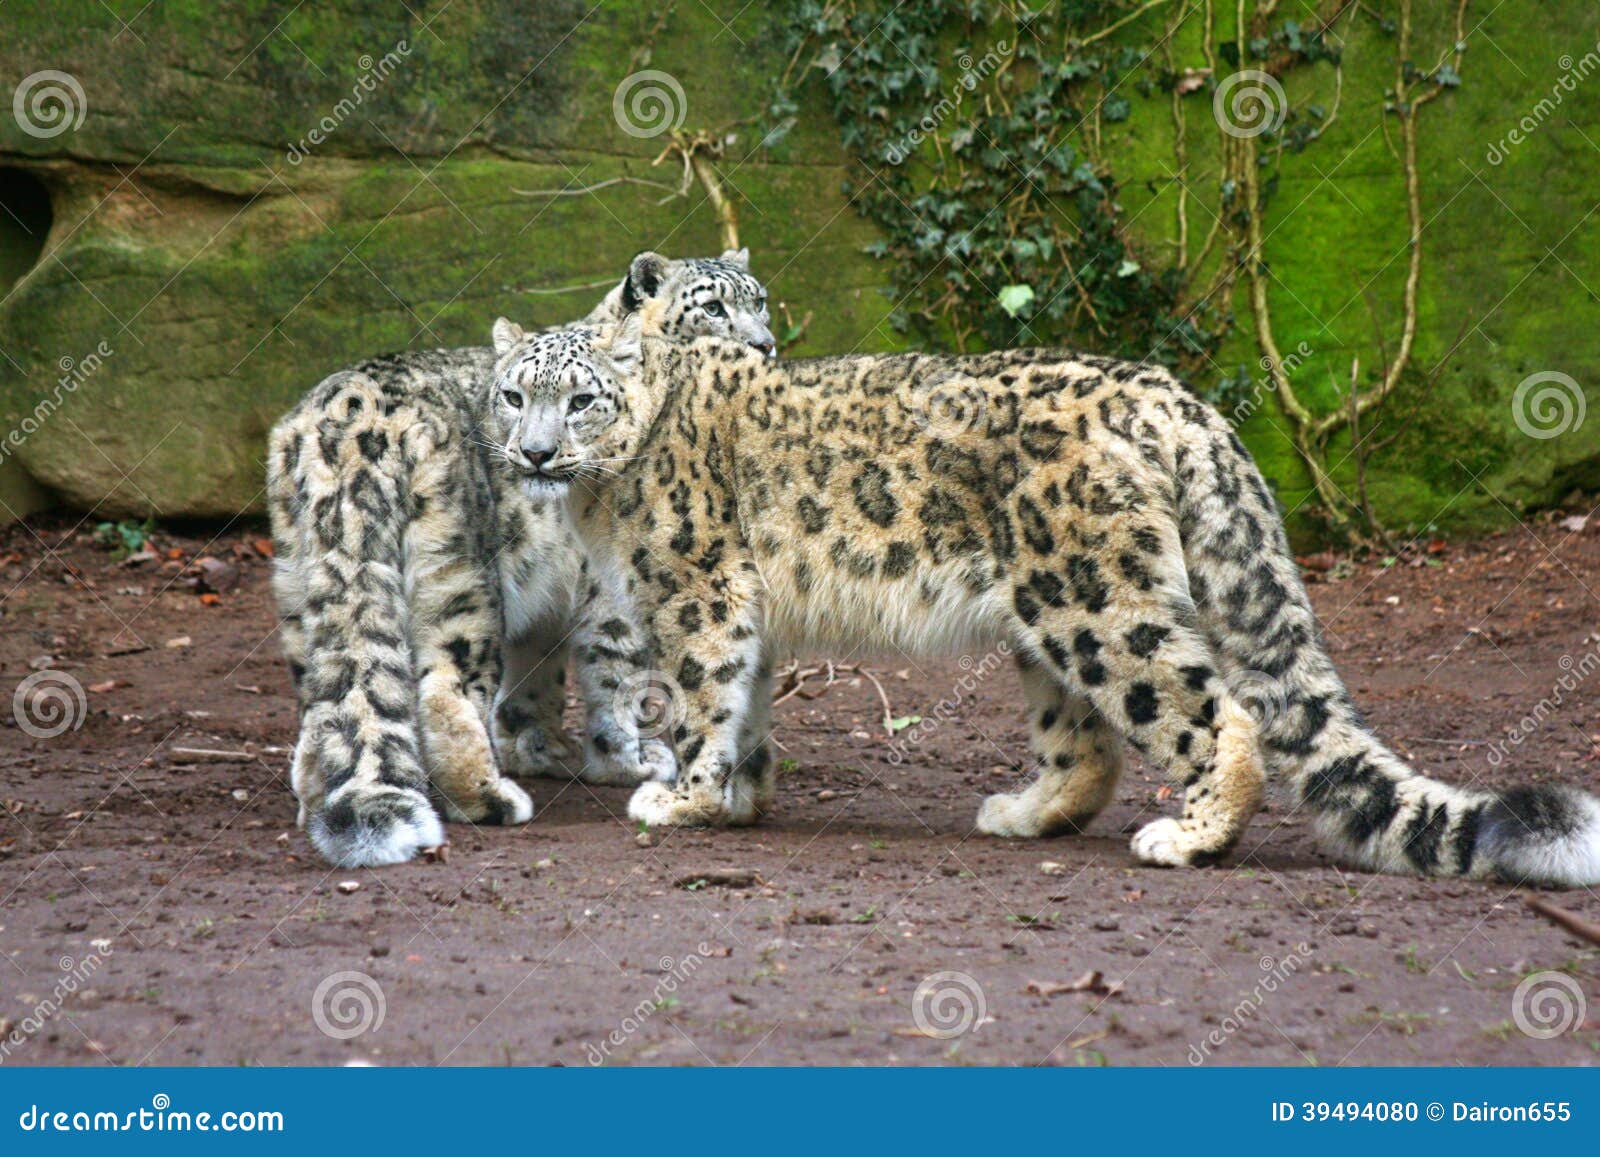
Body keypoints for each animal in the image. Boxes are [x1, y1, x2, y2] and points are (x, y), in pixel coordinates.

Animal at [266, 249, 774, 867]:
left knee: (323, 693)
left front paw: (537, 744)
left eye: (759, 300)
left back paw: (317, 796)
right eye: (713, 307)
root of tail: (356, 417)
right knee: (446, 687)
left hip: (298, 579)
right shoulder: (611, 588)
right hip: (457, 574)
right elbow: (618, 670)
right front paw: (629, 758)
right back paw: (486, 797)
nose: (766, 344)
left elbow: (536, 669)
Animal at [483, 306, 1600, 886]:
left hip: (1095, 602)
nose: (532, 451)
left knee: (1216, 713)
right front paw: (739, 798)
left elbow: (705, 693)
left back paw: (1189, 833)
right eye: (512, 392)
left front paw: (678, 796)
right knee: (1087, 742)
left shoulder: (697, 590)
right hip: (1049, 615)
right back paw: (1026, 812)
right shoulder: (741, 606)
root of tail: (1179, 398)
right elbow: (747, 700)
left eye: (581, 397)